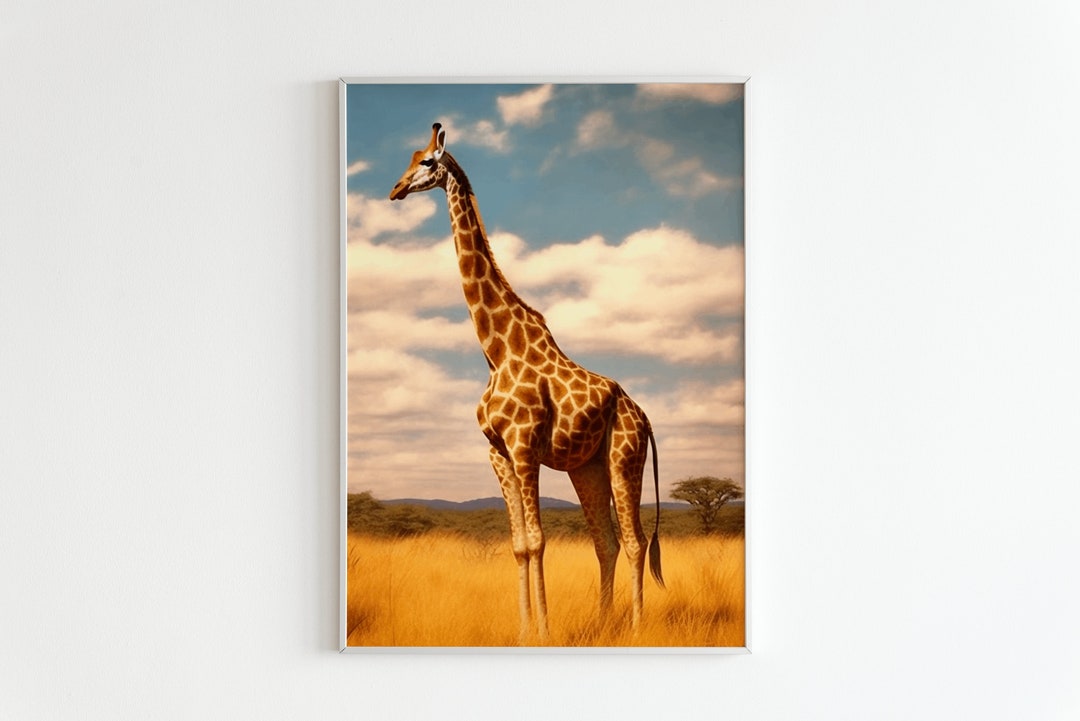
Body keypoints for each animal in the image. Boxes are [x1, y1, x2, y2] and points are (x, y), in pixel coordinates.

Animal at [389, 123, 664, 642]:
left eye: (428, 162)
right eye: (409, 159)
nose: (394, 190)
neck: (497, 352)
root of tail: (645, 417)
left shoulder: (523, 447)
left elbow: (537, 541)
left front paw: (544, 633)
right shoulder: (497, 452)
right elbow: (519, 544)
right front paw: (523, 632)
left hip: (625, 458)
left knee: (636, 541)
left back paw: (637, 629)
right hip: (587, 467)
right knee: (607, 541)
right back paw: (603, 623)